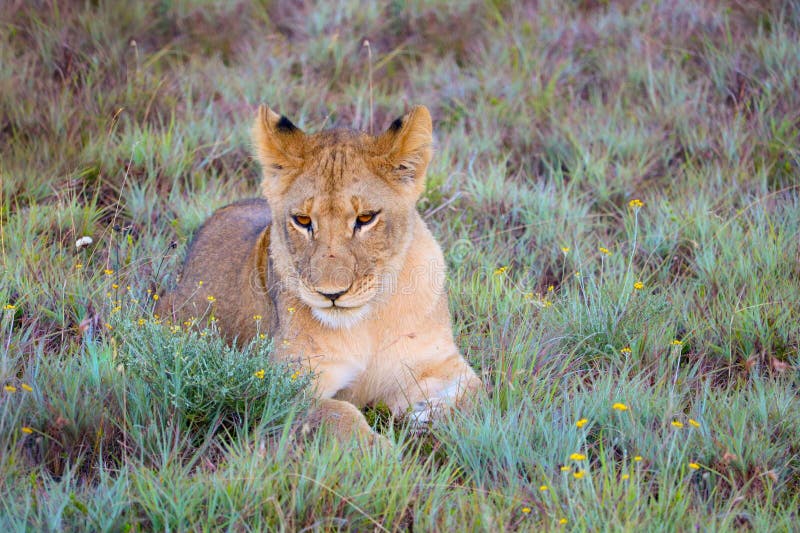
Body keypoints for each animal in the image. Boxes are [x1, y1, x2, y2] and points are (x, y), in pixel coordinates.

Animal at [157, 105, 481, 445]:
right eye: (302, 220)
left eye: (366, 218)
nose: (331, 293)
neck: (365, 325)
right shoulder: (285, 389)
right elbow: (340, 416)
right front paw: (387, 453)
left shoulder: (436, 362)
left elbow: (476, 395)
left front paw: (432, 418)